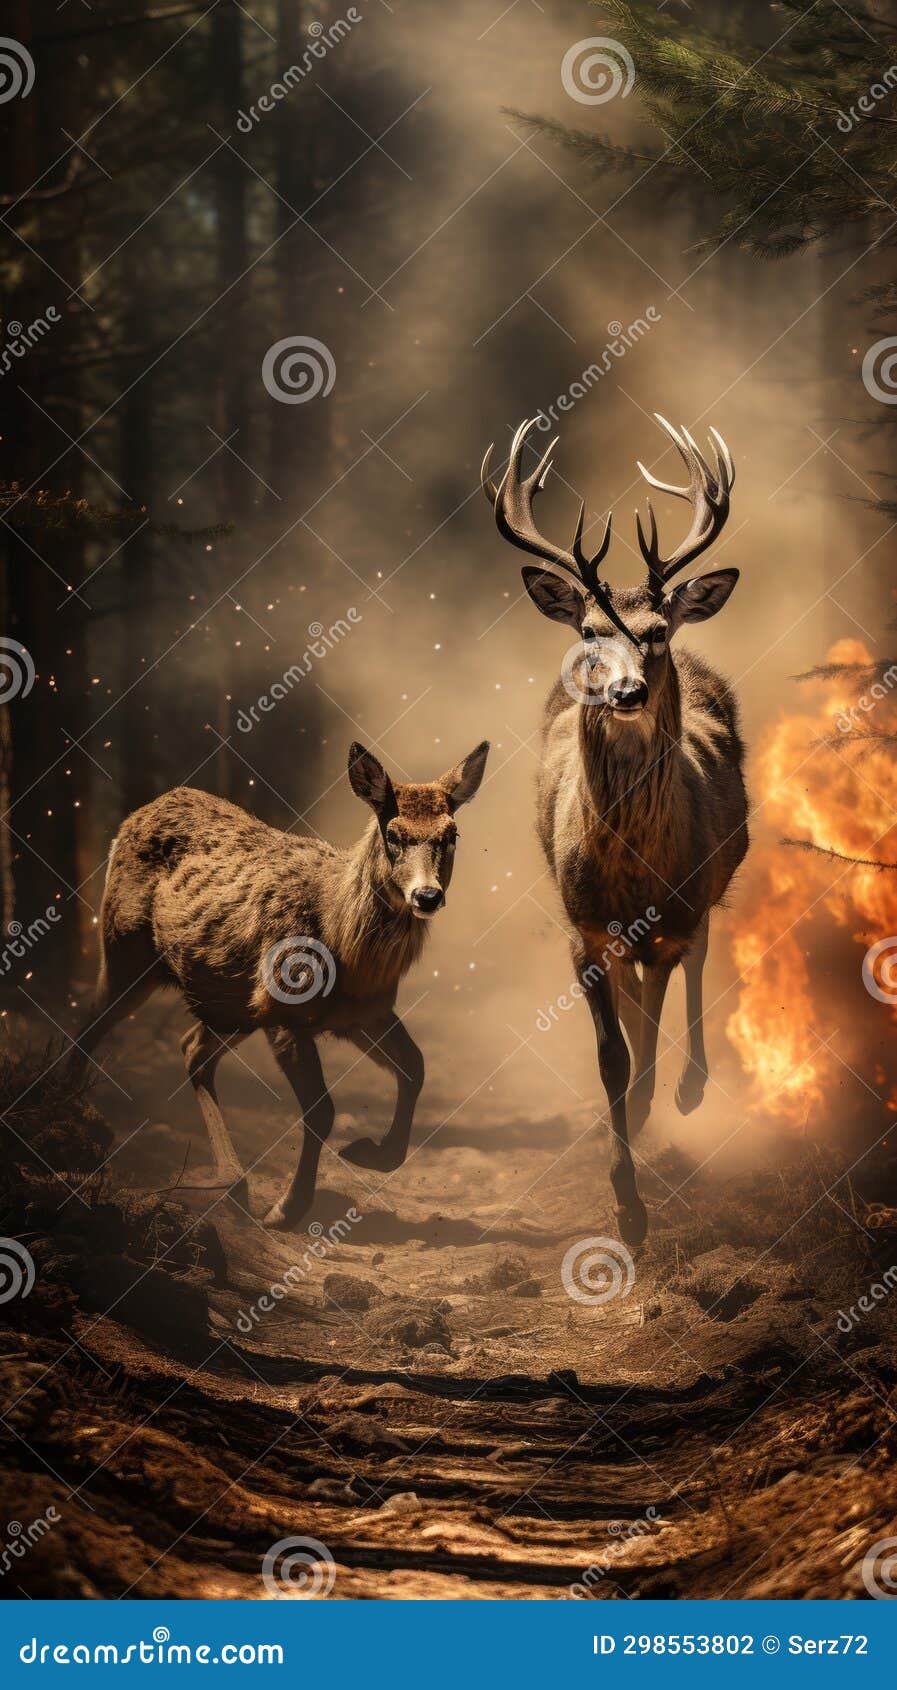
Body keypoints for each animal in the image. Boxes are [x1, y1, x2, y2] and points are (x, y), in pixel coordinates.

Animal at [70, 739, 490, 1228]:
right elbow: (322, 1110)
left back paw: (232, 1180)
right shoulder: (284, 1010)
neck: (343, 942)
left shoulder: (365, 1013)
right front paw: (289, 1208)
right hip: (125, 948)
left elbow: (416, 1066)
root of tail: (136, 815)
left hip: (229, 1003)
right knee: (88, 1022)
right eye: (394, 835)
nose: (427, 895)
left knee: (191, 1049)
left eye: (451, 835)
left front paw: (374, 1153)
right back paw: (71, 1115)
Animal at [481, 414, 748, 1246]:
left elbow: (650, 1029)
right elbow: (611, 1057)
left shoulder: (670, 915)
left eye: (654, 629)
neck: (630, 864)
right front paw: (626, 1203)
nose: (627, 690)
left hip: (707, 889)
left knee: (695, 963)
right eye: (591, 629)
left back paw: (688, 1088)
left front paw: (648, 1129)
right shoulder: (583, 927)